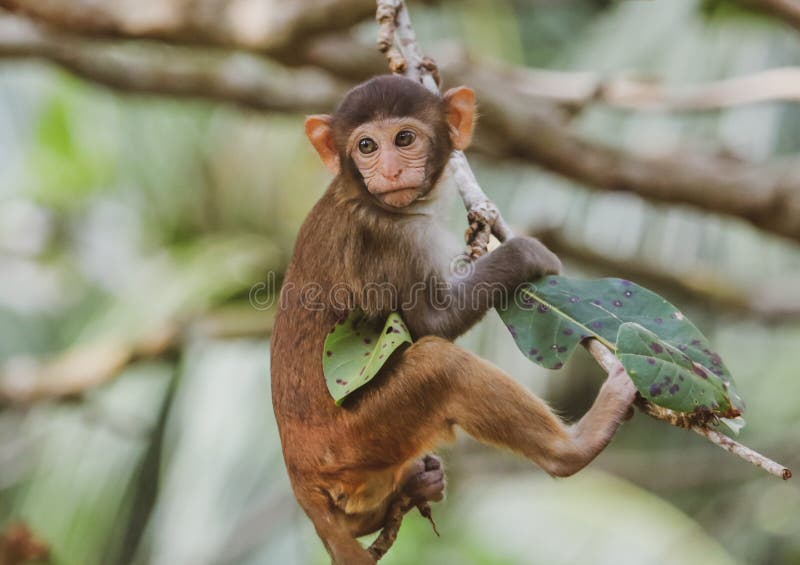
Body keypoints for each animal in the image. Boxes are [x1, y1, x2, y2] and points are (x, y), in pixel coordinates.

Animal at [271, 75, 636, 565]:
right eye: (366, 145)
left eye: (404, 139)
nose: (389, 171)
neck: (357, 194)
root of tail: (299, 475)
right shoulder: (391, 239)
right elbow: (432, 323)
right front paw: (525, 253)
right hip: (353, 441)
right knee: (440, 366)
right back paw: (573, 449)